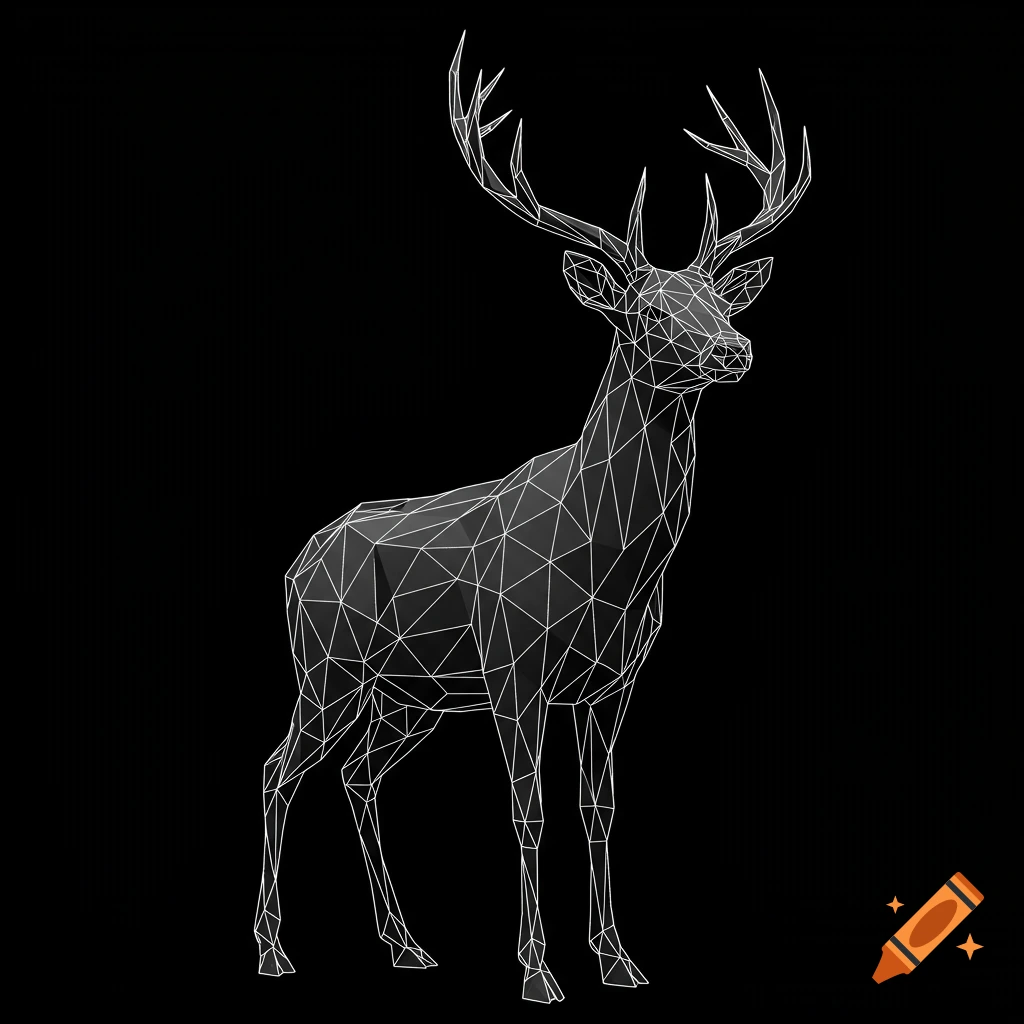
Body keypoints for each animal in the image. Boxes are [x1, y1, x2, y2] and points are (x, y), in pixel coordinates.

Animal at [255, 31, 810, 1003]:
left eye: (719, 300)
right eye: (648, 309)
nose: (736, 348)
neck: (605, 561)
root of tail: (297, 564)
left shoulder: (614, 680)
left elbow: (600, 808)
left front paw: (620, 958)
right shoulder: (516, 662)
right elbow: (527, 810)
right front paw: (539, 970)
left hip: (411, 697)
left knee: (358, 776)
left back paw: (406, 944)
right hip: (327, 667)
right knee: (278, 771)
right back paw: (273, 948)